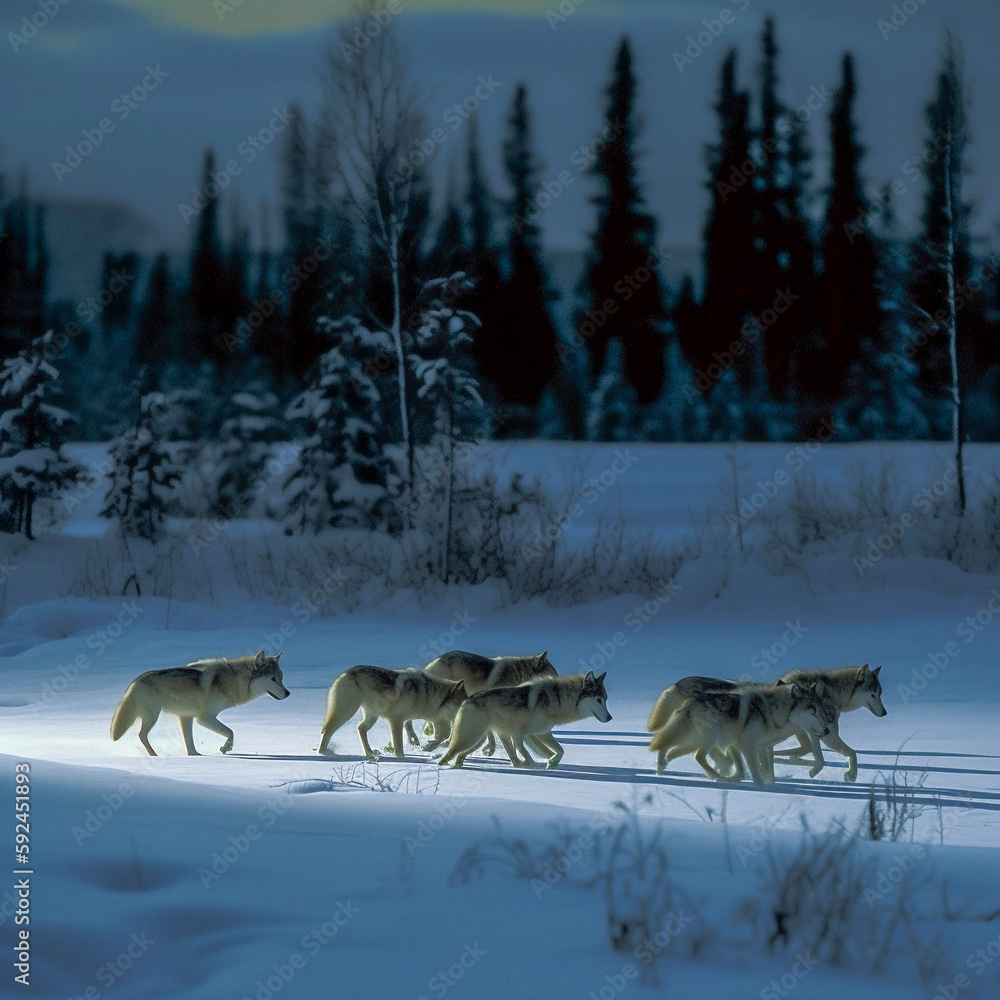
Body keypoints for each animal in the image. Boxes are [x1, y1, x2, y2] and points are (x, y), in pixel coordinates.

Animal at [111, 650, 290, 756]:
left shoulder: (189, 716)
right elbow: (231, 732)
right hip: (153, 716)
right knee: (141, 735)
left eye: (281, 678)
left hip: (179, 719)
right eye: (273, 679)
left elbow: (193, 747)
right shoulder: (204, 718)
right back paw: (155, 755)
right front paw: (225, 748)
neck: (234, 680)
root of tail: (135, 682)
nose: (288, 693)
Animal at [318, 665, 467, 758]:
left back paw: (370, 753)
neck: (428, 695)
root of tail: (344, 674)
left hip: (371, 717)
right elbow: (399, 746)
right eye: (462, 703)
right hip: (346, 713)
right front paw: (402, 759)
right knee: (327, 731)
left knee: (360, 729)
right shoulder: (396, 720)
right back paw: (324, 753)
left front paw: (426, 748)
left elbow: (442, 736)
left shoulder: (434, 718)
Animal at [437, 671, 612, 770]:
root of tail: (466, 700)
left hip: (478, 740)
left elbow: (559, 751)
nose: (610, 717)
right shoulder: (522, 734)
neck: (558, 699)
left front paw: (550, 763)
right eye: (598, 700)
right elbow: (524, 750)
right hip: (471, 738)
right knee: (449, 753)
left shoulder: (539, 734)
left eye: (605, 699)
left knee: (460, 755)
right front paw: (536, 765)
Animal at [648, 680, 835, 786]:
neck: (772, 714)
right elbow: (757, 775)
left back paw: (661, 767)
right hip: (710, 738)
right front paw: (761, 789)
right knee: (697, 756)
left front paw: (771, 786)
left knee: (670, 749)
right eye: (812, 711)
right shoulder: (748, 747)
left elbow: (769, 774)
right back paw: (718, 777)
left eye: (820, 711)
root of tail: (689, 702)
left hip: (693, 740)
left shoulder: (764, 747)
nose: (827, 730)